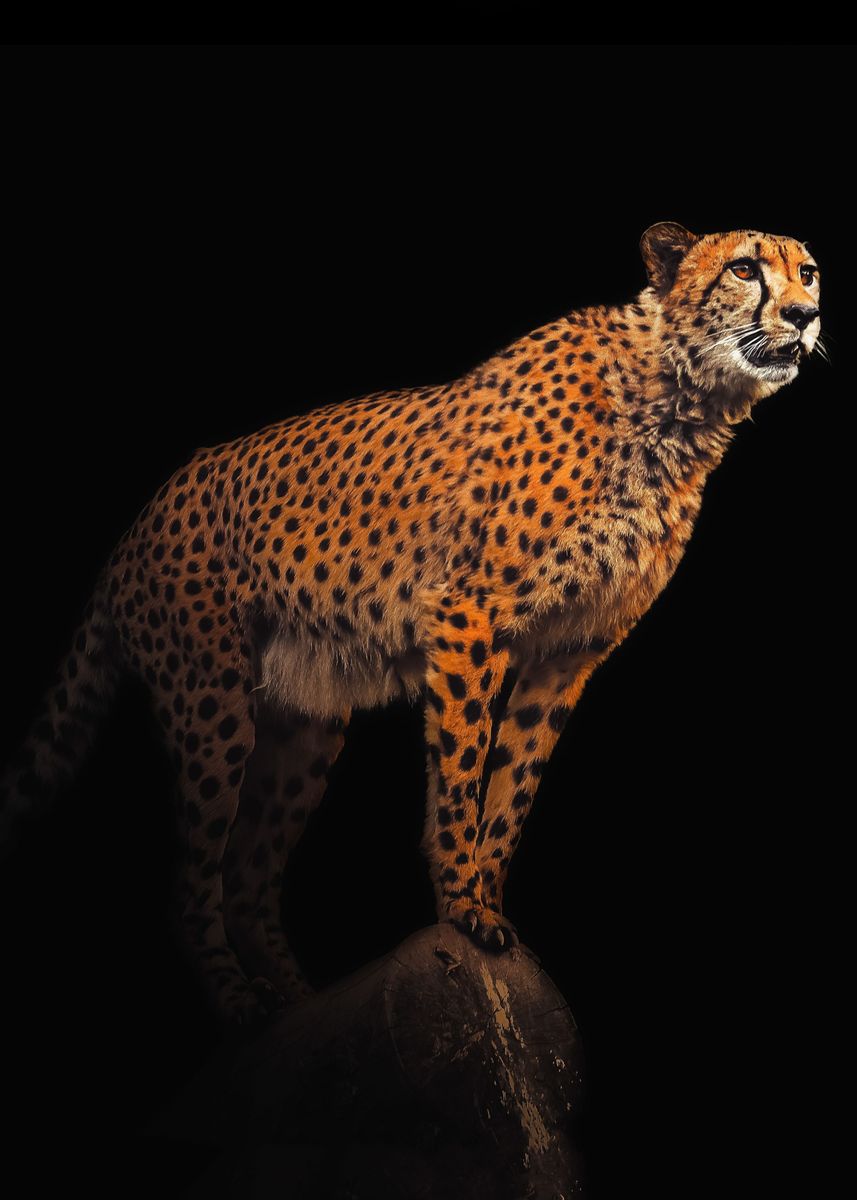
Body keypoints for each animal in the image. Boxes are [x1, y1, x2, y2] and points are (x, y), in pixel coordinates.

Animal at [1, 222, 821, 1025]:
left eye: (808, 273)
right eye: (745, 268)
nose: (804, 315)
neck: (680, 399)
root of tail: (139, 520)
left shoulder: (571, 648)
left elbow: (514, 786)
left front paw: (487, 900)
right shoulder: (469, 613)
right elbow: (461, 768)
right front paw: (461, 907)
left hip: (303, 730)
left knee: (247, 880)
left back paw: (300, 1004)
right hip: (212, 704)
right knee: (192, 884)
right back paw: (240, 1005)